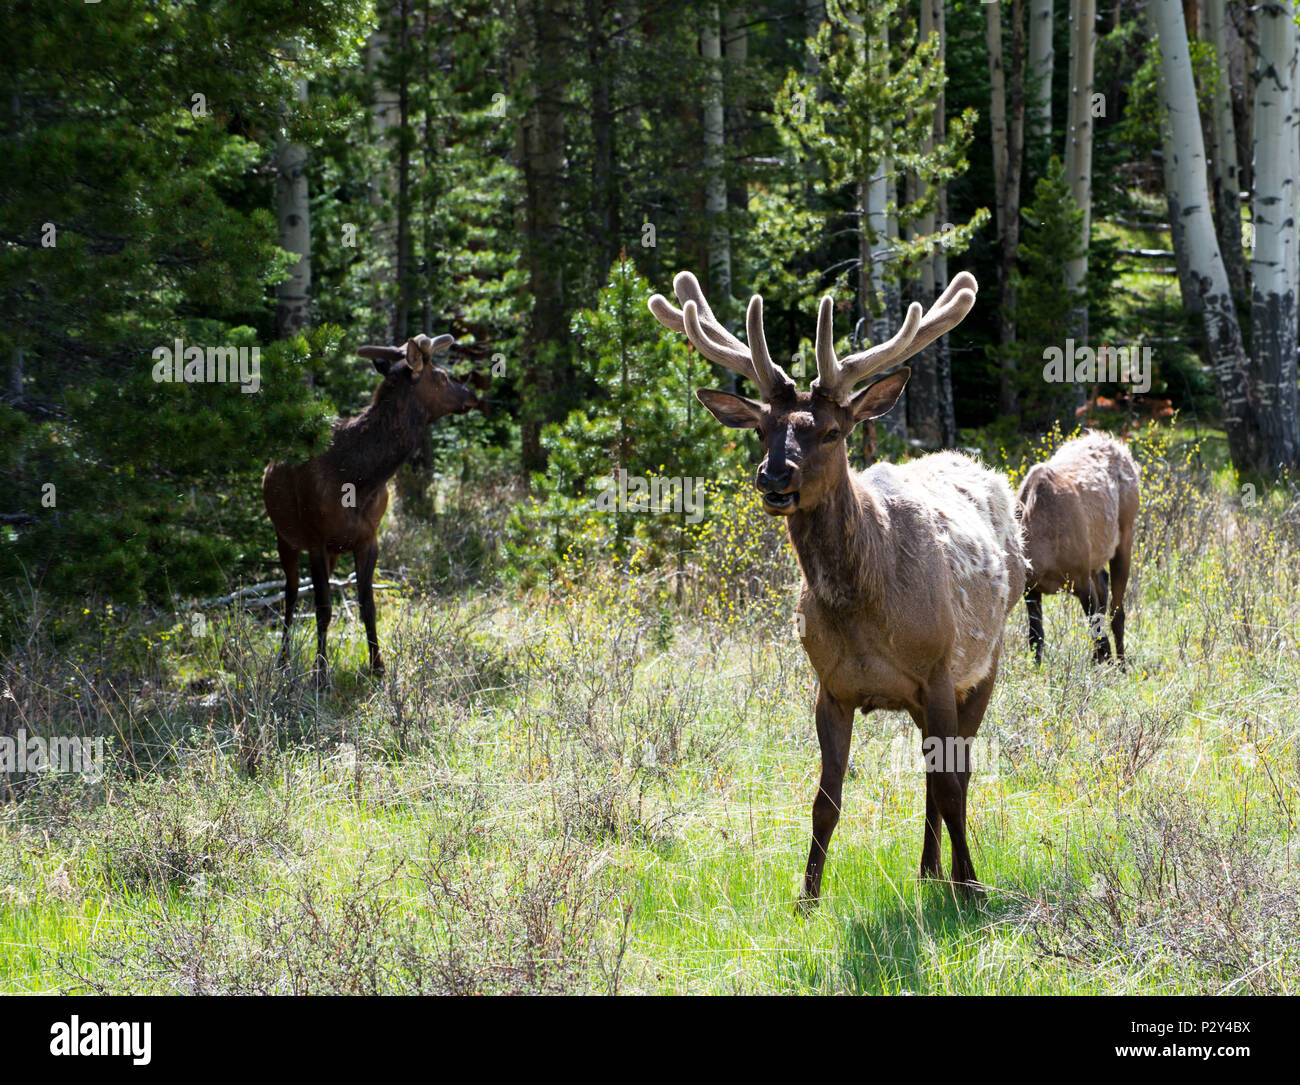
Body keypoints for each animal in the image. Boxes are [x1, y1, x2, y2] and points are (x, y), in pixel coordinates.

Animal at [262, 333, 480, 685]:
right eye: (442, 376)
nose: (471, 395)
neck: (360, 479)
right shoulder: (315, 540)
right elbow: (323, 609)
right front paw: (320, 675)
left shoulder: (368, 538)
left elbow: (368, 605)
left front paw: (378, 666)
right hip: (285, 538)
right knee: (290, 595)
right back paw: (282, 662)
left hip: (334, 551)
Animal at [648, 271, 1025, 903]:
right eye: (763, 429)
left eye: (829, 431)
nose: (774, 478)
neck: (863, 612)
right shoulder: (830, 685)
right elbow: (825, 800)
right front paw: (807, 896)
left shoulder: (939, 669)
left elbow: (952, 784)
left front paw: (972, 886)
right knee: (929, 776)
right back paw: (926, 870)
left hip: (985, 663)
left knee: (956, 773)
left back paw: (946, 874)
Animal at [1018, 431, 1140, 666]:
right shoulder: (1031, 588)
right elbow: (1035, 638)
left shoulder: (1080, 579)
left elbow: (1100, 637)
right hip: (1094, 557)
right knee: (1103, 583)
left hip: (1125, 534)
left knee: (1116, 612)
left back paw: (1121, 665)